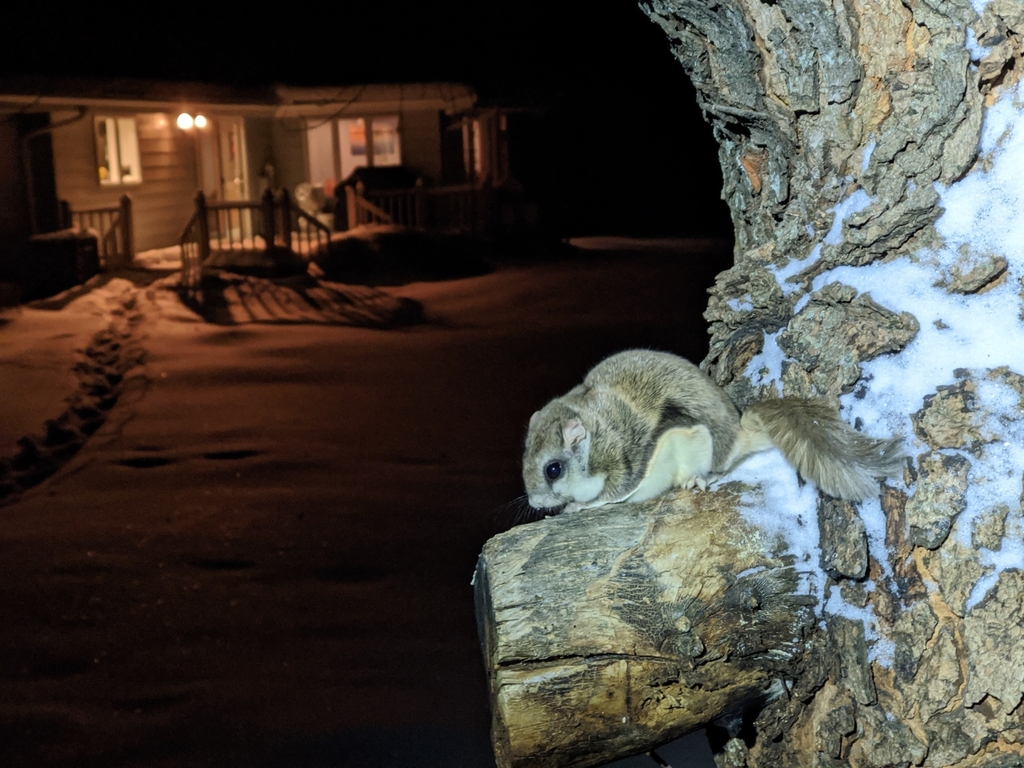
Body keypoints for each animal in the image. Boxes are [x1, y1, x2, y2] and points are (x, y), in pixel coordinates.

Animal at [522, 349, 905, 513]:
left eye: (553, 469)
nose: (535, 503)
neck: (594, 432)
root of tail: (738, 436)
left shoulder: (621, 460)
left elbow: (610, 494)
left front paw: (576, 506)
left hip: (697, 442)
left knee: (715, 469)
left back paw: (697, 479)